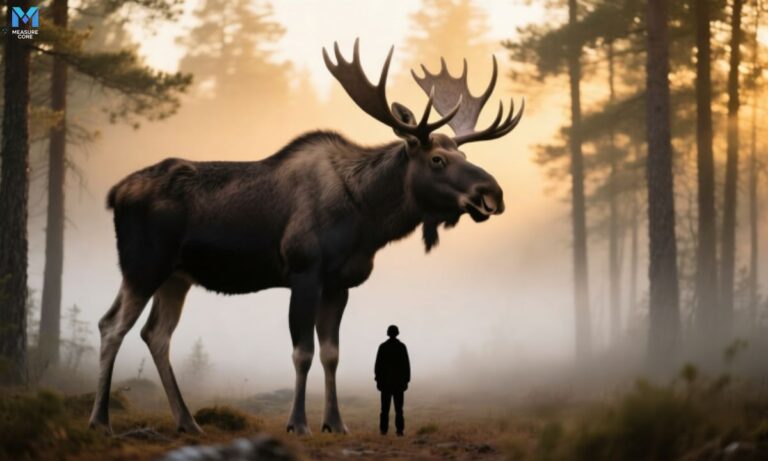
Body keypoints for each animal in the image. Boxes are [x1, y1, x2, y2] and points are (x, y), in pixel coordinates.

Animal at [89, 40, 523, 436]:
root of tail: (114, 193)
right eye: (437, 160)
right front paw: (298, 423)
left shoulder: (339, 283)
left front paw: (335, 423)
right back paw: (101, 420)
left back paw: (187, 421)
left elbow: (331, 353)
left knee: (156, 334)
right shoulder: (304, 272)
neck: (366, 220)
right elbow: (303, 352)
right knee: (112, 325)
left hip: (177, 276)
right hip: (143, 265)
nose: (493, 193)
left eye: (465, 157)